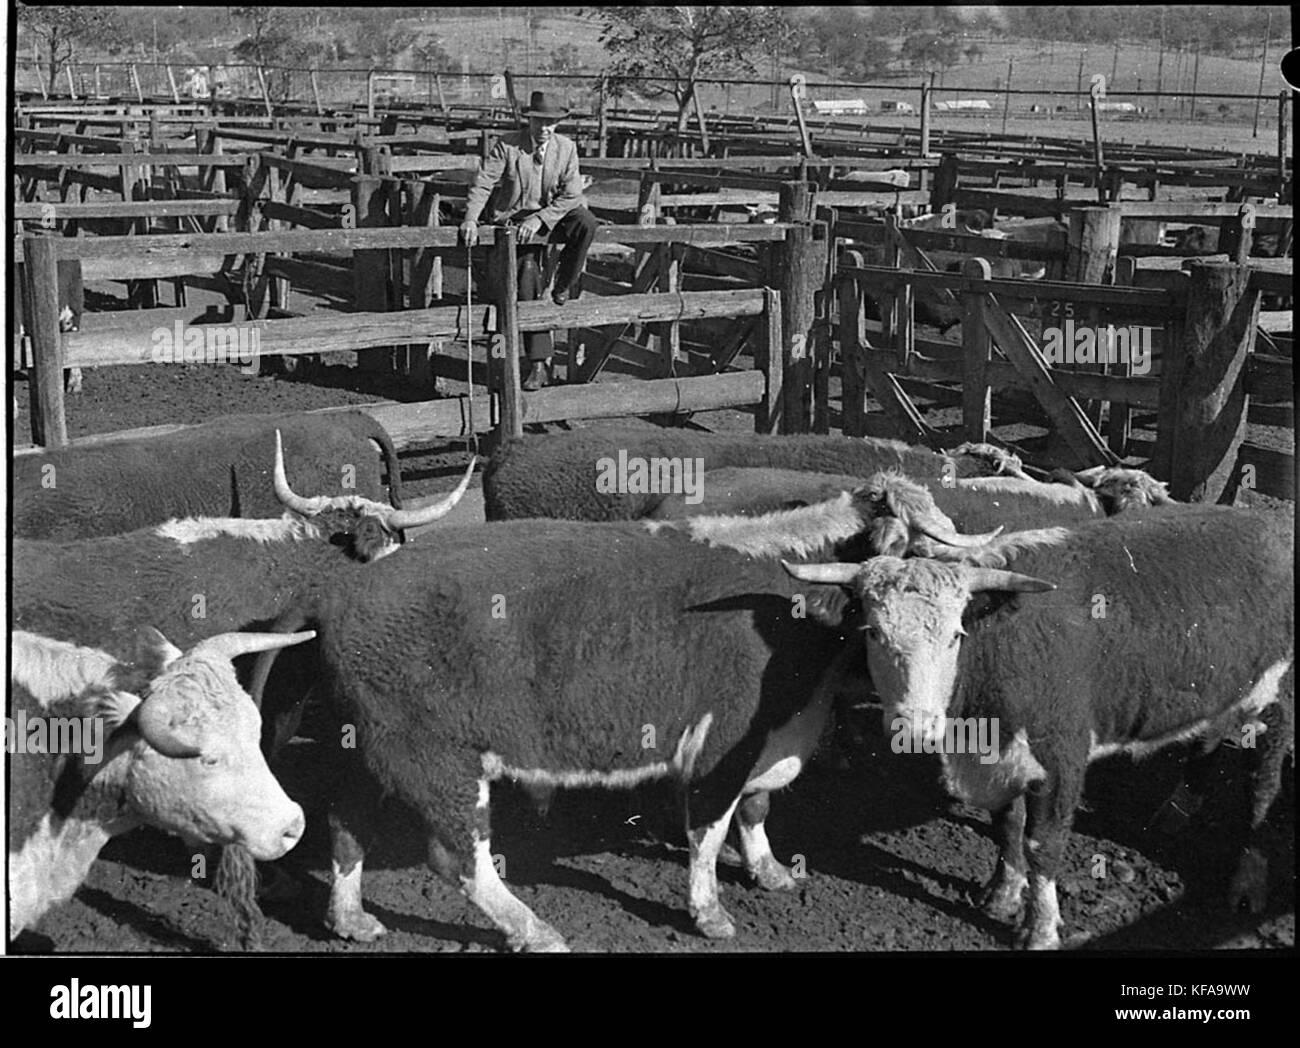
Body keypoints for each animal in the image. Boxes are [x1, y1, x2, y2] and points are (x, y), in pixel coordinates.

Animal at [784, 504, 1295, 949]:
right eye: (873, 632)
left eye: (953, 636)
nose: (916, 727)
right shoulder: (998, 755)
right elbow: (1008, 824)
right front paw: (1002, 893)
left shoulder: (1061, 756)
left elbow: (1042, 844)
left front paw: (1041, 929)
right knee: (1208, 735)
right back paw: (1178, 808)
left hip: (1280, 701)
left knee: (1263, 785)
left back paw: (1248, 880)